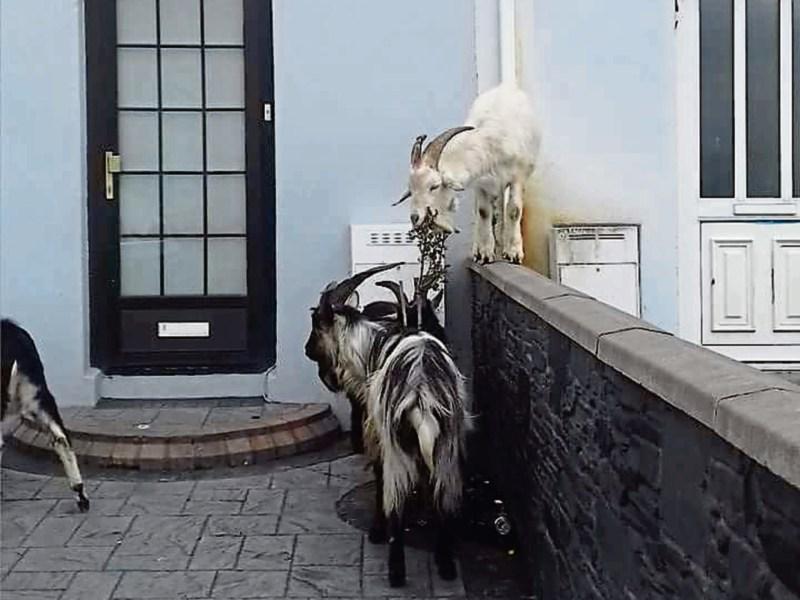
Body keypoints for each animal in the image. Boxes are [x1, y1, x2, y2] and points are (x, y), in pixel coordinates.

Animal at [305, 270, 468, 588]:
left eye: (316, 323)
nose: (306, 351)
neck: (372, 345)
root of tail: (421, 393)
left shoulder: (377, 433)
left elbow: (380, 481)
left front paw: (377, 531)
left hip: (397, 447)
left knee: (396, 501)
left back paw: (396, 571)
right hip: (446, 447)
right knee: (441, 497)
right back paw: (445, 564)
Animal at [394, 82, 540, 264]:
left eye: (434, 186)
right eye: (411, 190)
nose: (415, 218)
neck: (491, 141)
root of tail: (505, 86)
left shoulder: (518, 176)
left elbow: (514, 210)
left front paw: (513, 253)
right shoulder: (482, 183)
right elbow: (483, 212)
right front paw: (485, 253)